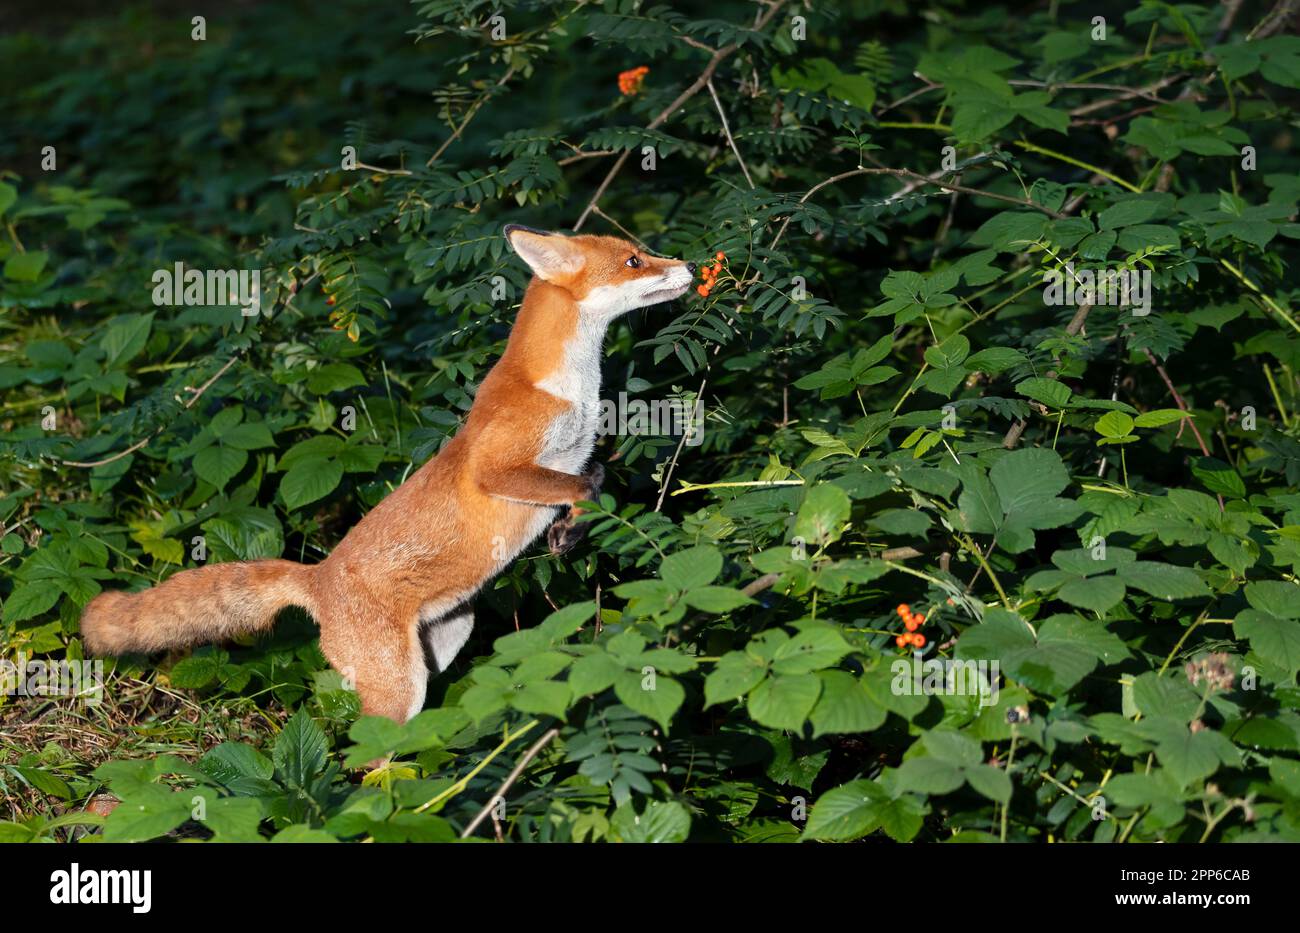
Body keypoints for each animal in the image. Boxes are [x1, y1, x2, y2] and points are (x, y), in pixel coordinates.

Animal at [80, 225, 697, 724]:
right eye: (634, 261)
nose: (690, 266)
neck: (569, 387)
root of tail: (316, 577)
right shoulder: (497, 467)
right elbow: (584, 484)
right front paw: (567, 529)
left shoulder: (574, 453)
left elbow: (597, 477)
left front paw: (571, 529)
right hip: (399, 685)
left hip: (446, 640)